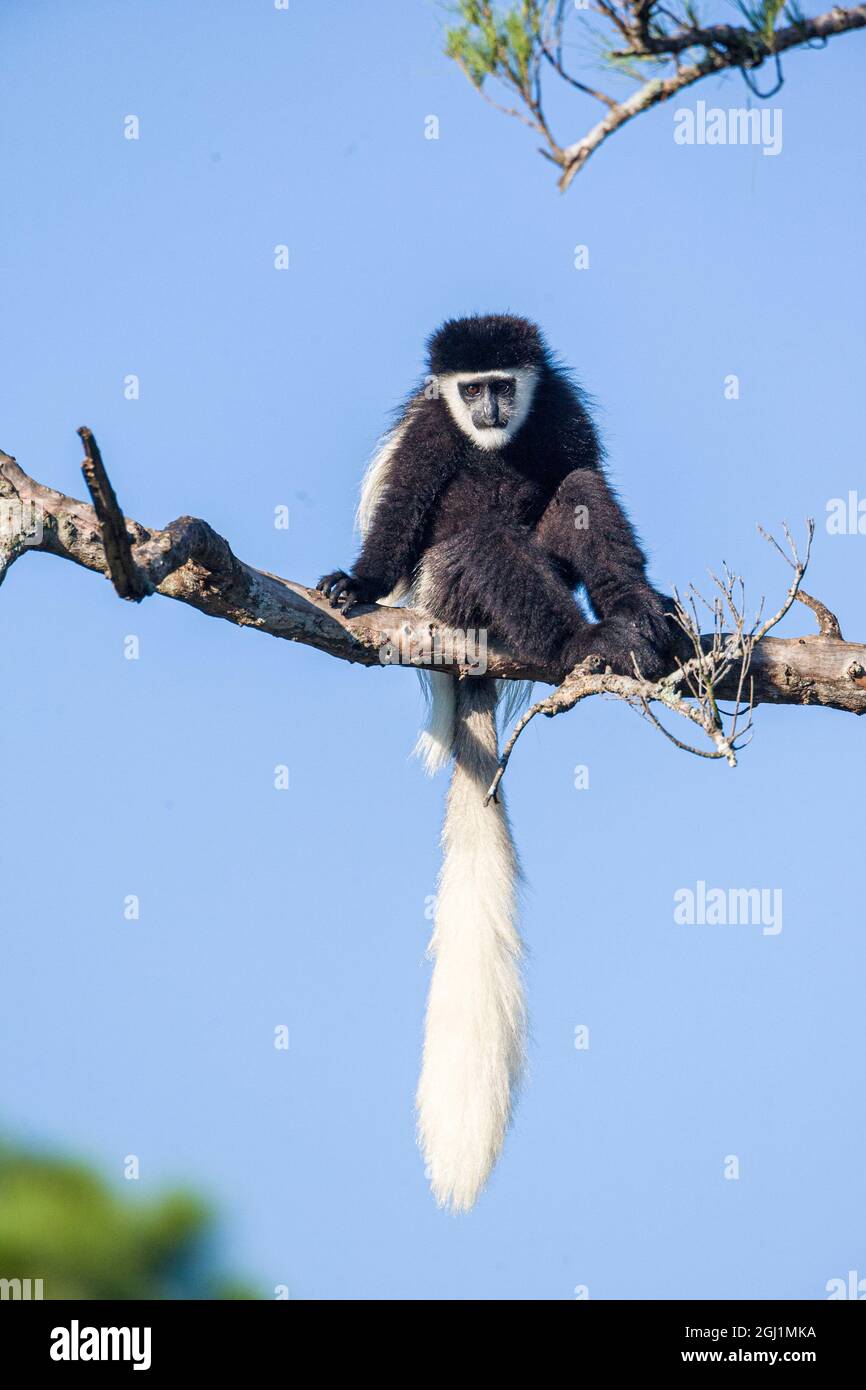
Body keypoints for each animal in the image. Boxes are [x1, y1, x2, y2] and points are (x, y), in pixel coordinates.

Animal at [318, 314, 676, 1212]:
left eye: (504, 385)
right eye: (470, 387)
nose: (487, 410)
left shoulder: (559, 406)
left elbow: (584, 468)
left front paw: (645, 600)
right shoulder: (428, 433)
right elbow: (401, 516)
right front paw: (356, 581)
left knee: (577, 492)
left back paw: (639, 620)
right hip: (448, 595)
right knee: (480, 543)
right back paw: (584, 643)